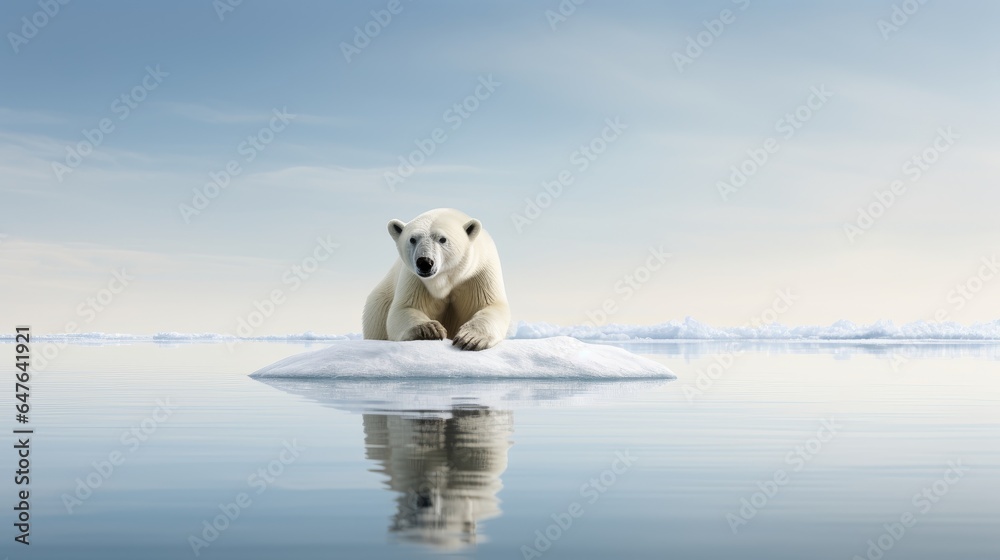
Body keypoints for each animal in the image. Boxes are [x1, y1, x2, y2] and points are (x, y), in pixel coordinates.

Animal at [362, 208, 511, 351]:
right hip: (378, 308)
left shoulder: (478, 273)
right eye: (412, 239)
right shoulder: (414, 279)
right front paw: (430, 329)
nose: (424, 262)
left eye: (442, 239)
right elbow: (405, 308)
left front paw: (470, 338)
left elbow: (491, 306)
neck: (445, 280)